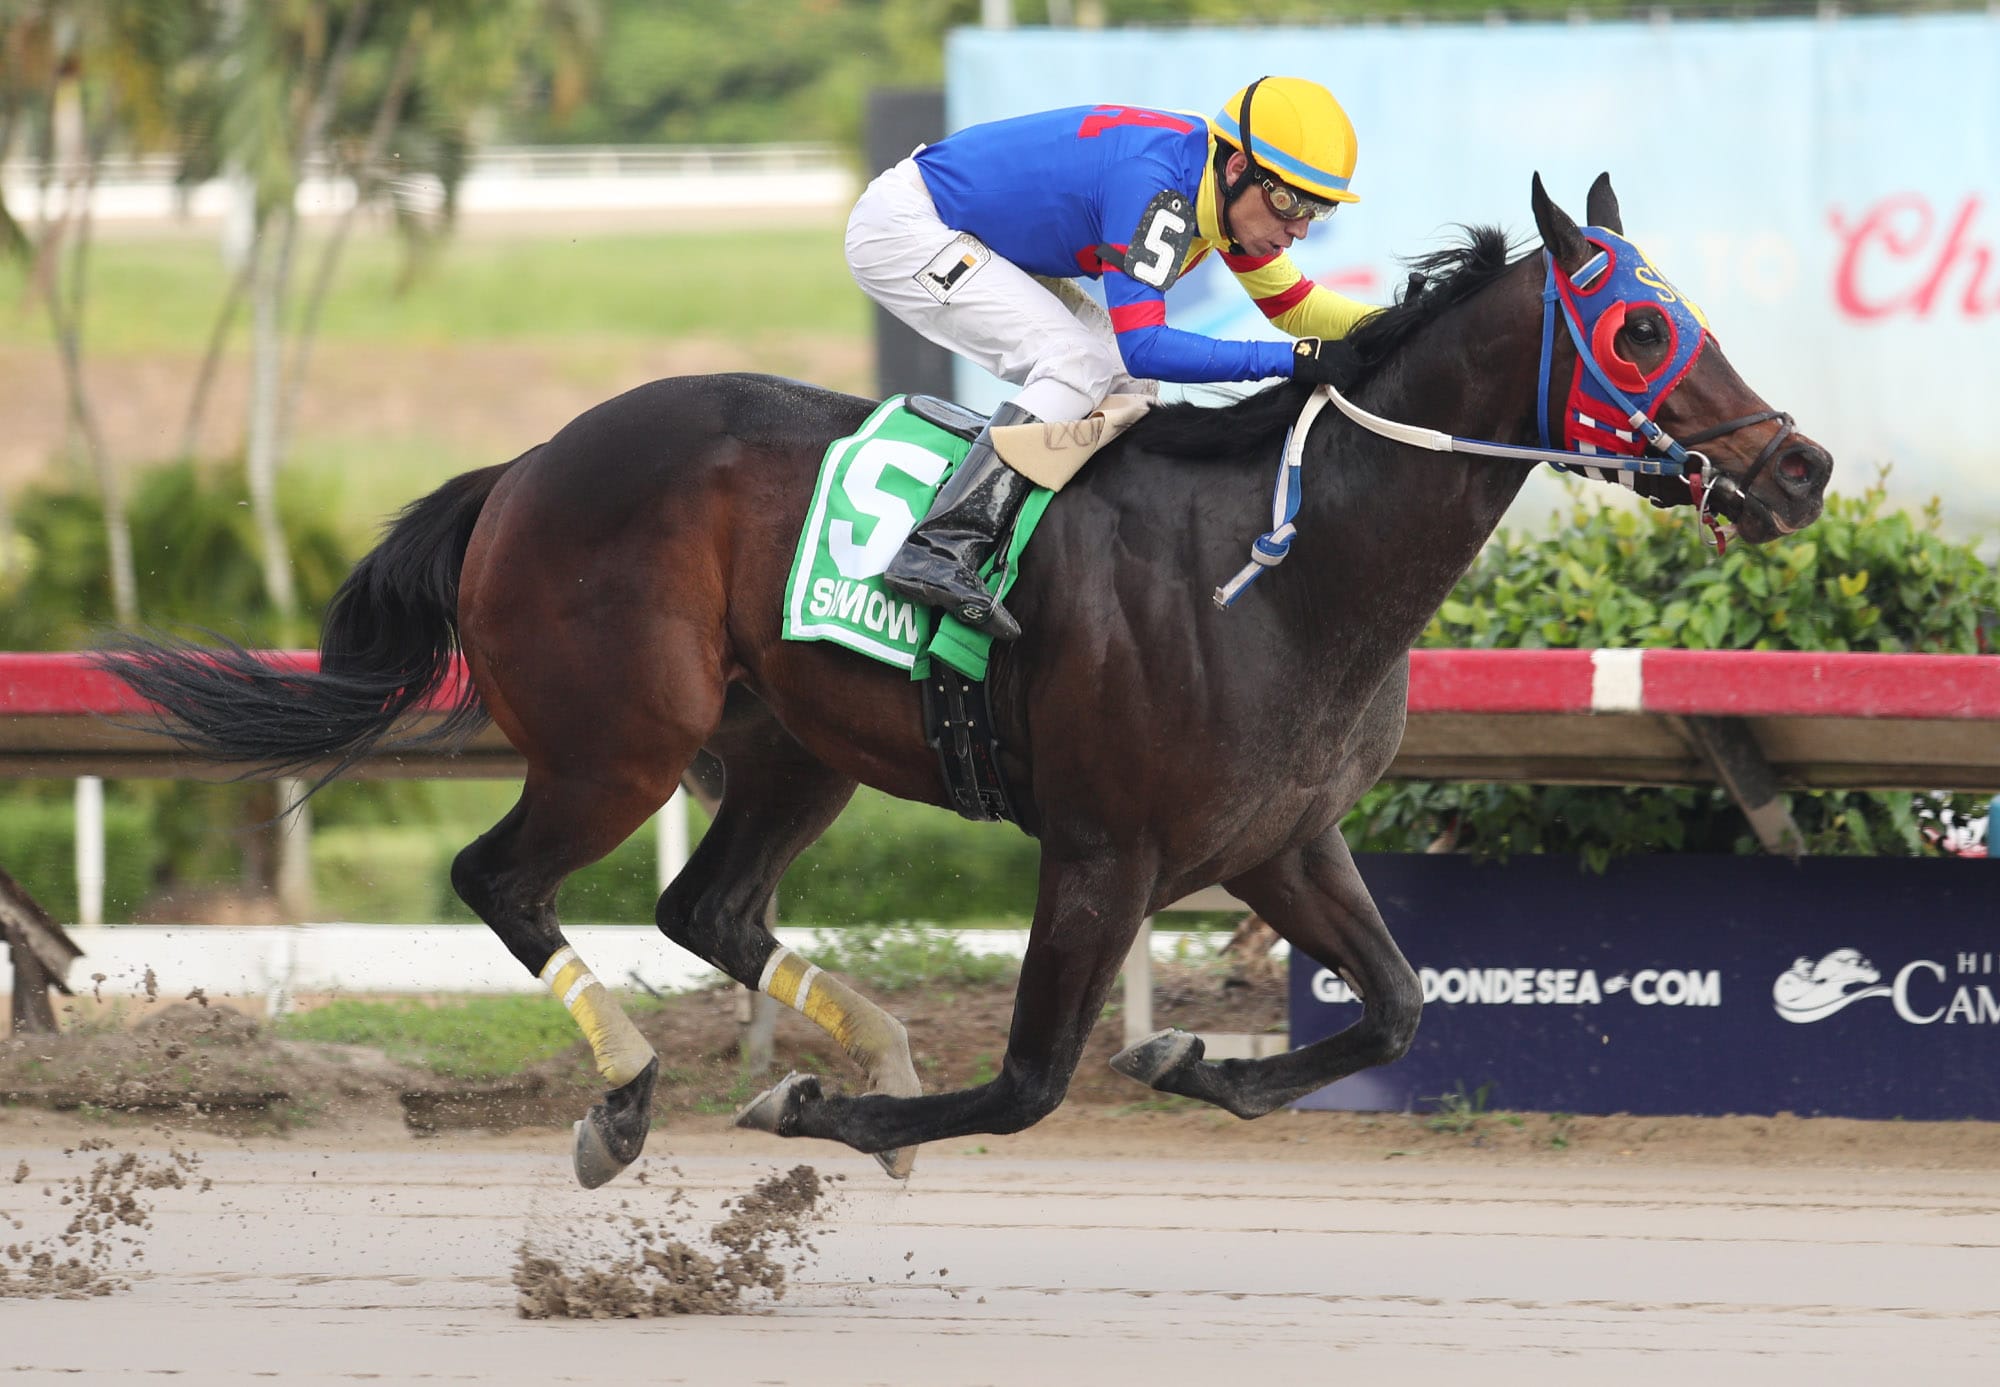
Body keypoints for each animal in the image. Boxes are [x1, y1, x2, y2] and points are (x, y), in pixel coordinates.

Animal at [100, 174, 1832, 1187]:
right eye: (1639, 328)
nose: (1801, 469)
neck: (1285, 563)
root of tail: (526, 464)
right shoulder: (1103, 850)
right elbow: (1028, 1082)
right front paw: (822, 1113)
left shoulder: (1283, 836)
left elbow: (1399, 1006)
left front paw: (1193, 1058)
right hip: (620, 743)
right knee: (502, 878)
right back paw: (635, 1092)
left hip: (791, 747)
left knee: (705, 907)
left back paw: (862, 1040)